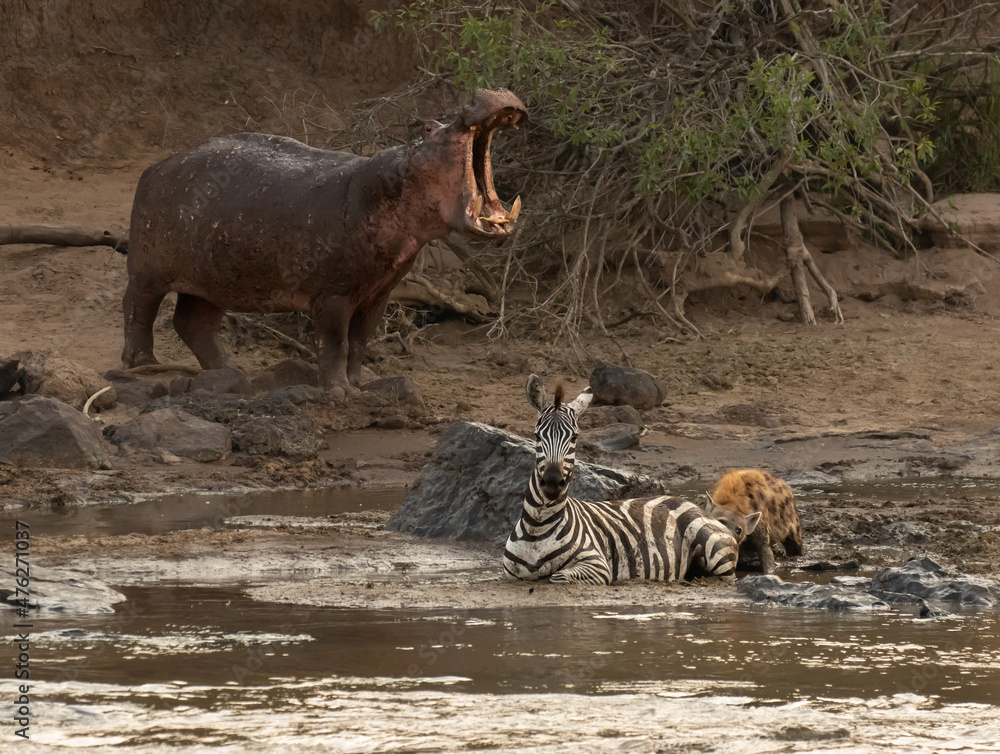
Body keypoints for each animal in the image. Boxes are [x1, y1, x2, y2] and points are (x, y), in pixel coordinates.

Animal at [502, 374, 756, 585]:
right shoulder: (509, 573)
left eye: (574, 437)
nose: (553, 482)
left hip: (714, 549)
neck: (539, 526)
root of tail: (689, 503)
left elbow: (558, 576)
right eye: (537, 435)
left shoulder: (597, 565)